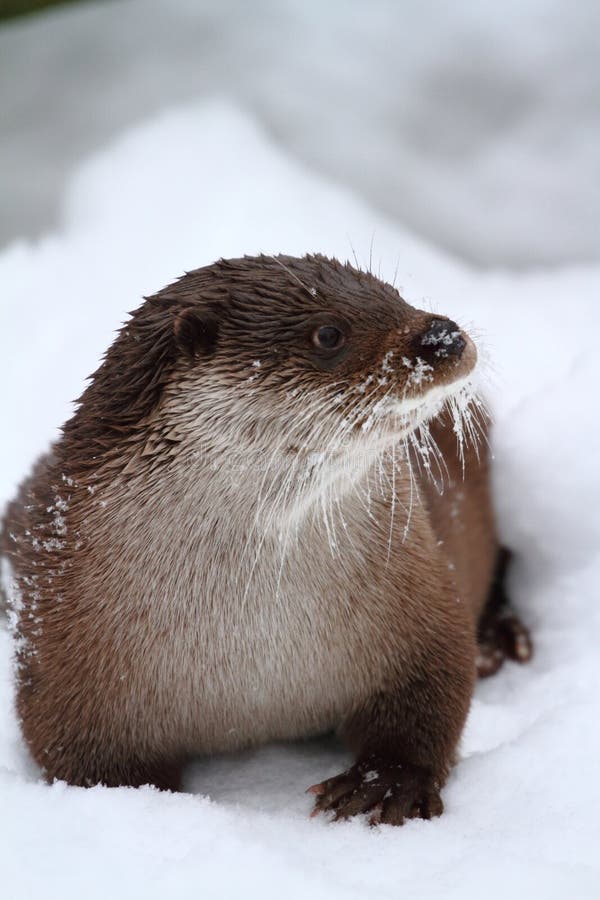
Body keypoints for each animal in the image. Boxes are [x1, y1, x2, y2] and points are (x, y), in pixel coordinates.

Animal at [1, 254, 532, 826]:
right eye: (328, 333)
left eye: (394, 294)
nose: (442, 336)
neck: (254, 638)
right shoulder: (62, 653)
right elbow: (88, 761)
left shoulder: (420, 593)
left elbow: (433, 692)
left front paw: (384, 783)